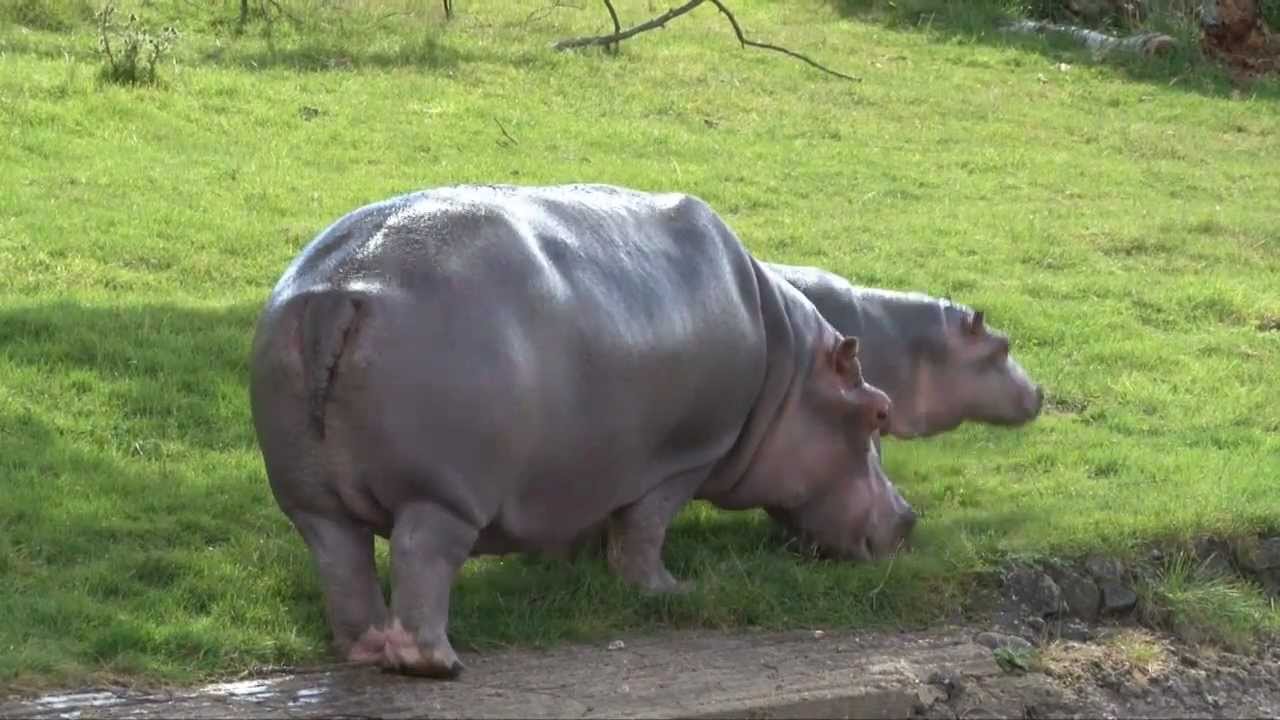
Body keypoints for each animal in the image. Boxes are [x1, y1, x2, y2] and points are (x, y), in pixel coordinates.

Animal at [248, 183, 916, 679]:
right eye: (879, 411)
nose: (910, 519)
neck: (789, 371)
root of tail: (339, 294)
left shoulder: (586, 463)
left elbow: (593, 520)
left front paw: (569, 566)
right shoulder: (686, 458)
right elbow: (644, 531)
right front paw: (669, 591)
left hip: (309, 499)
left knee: (341, 561)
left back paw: (364, 650)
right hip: (440, 494)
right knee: (422, 556)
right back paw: (436, 663)